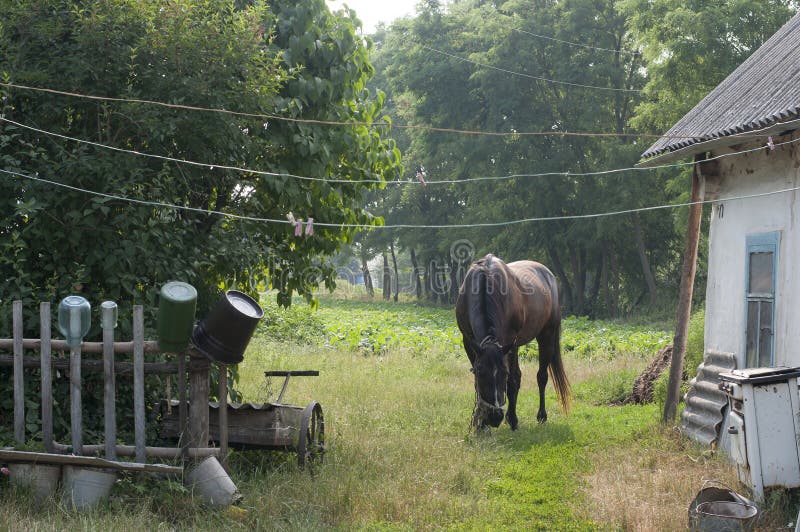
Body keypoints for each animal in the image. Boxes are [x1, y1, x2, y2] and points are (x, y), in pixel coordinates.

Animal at [455, 254, 570, 430]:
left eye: (504, 373)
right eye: (481, 372)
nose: (495, 417)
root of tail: (548, 274)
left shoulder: (511, 343)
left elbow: (513, 381)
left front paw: (513, 420)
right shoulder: (469, 343)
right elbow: (477, 384)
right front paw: (480, 422)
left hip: (547, 336)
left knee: (541, 377)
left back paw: (540, 416)